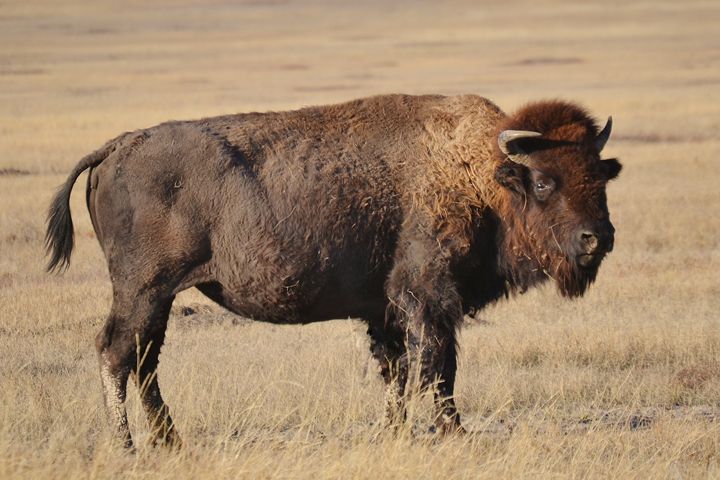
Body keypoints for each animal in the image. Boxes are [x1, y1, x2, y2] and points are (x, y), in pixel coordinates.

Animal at [46, 94, 621, 448]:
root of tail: (118, 146)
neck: (479, 174)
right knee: (117, 353)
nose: (599, 237)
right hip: (143, 289)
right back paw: (129, 448)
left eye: (599, 175)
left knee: (144, 361)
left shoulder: (387, 311)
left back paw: (172, 444)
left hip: (158, 297)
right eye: (543, 181)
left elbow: (398, 373)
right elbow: (437, 370)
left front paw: (395, 434)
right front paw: (454, 434)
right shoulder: (430, 299)